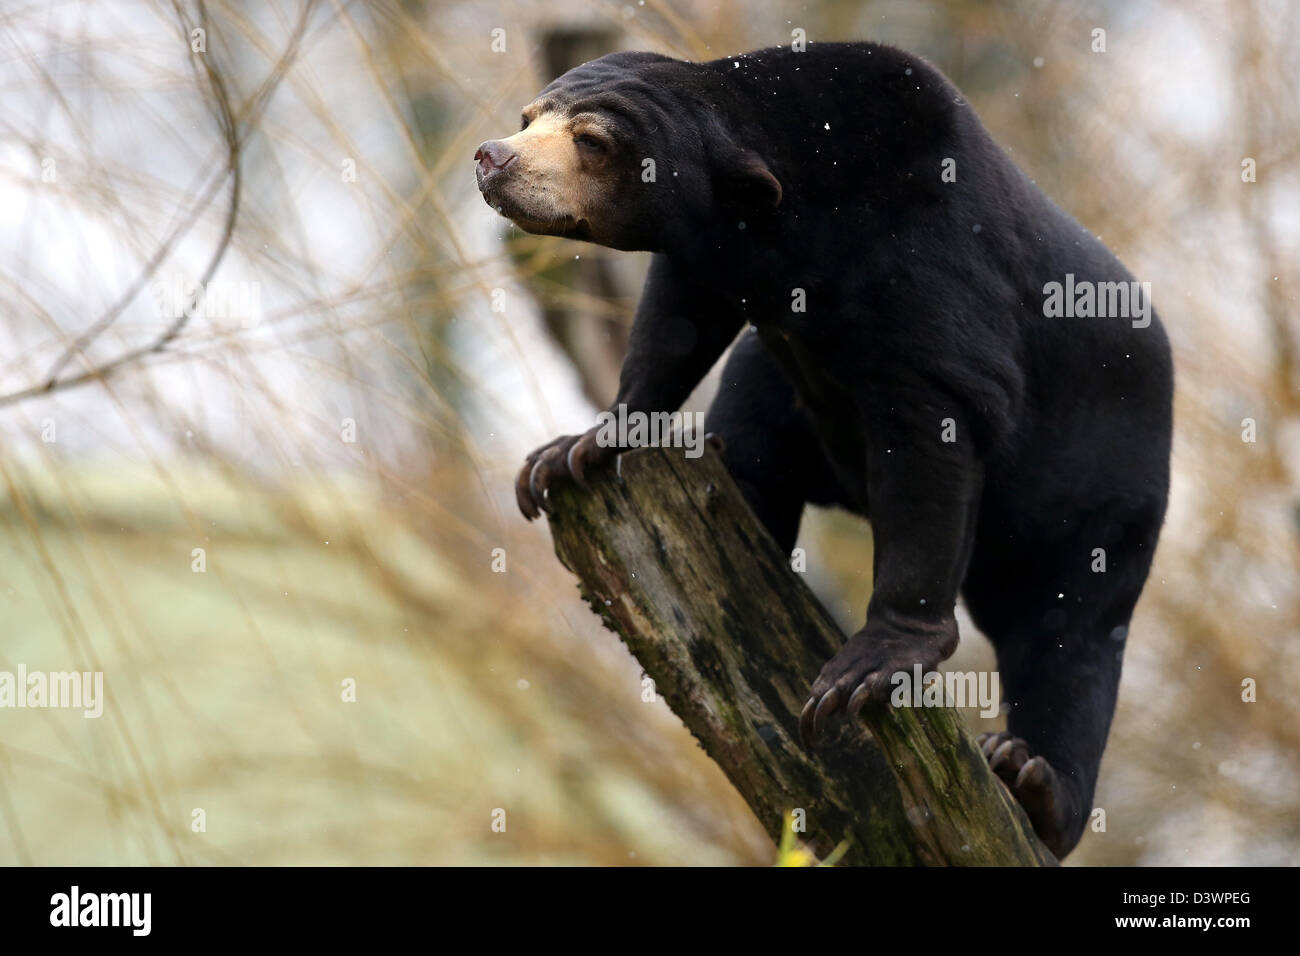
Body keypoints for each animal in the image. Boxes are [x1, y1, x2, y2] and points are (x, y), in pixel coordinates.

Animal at [475, 41, 1173, 860]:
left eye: (592, 142)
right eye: (530, 117)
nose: (492, 157)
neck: (790, 219)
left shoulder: (928, 277)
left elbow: (934, 437)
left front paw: (867, 668)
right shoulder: (719, 256)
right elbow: (675, 324)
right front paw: (572, 452)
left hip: (1108, 495)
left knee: (1070, 634)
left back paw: (1034, 785)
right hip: (793, 404)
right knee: (755, 423)